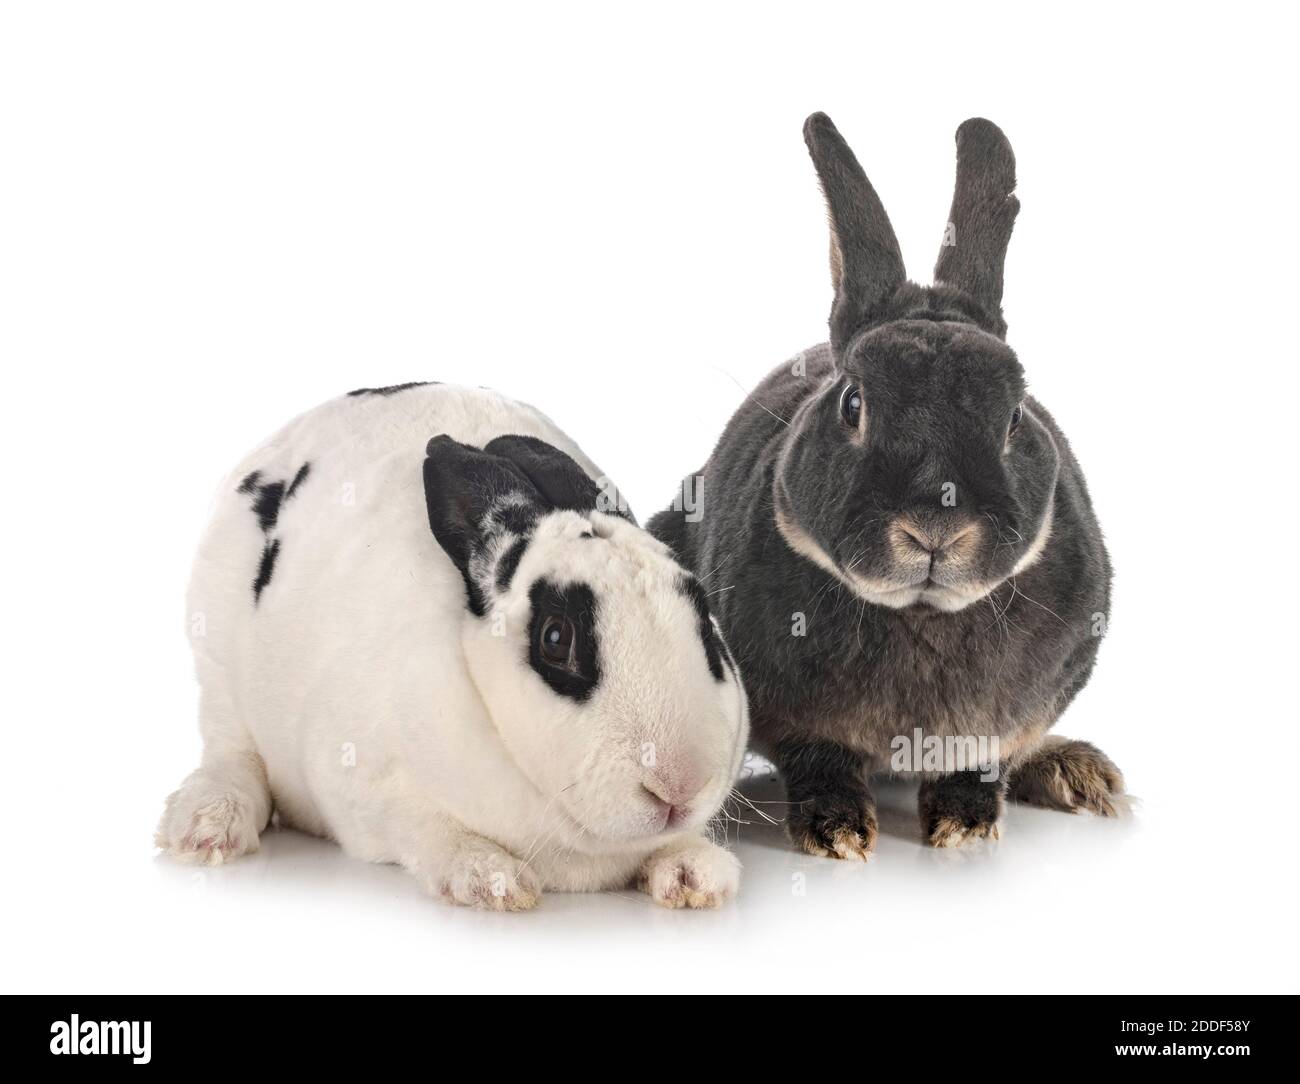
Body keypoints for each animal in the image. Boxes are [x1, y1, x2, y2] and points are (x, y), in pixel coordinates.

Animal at [157, 382, 749, 909]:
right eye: (555, 639)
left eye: (704, 619)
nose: (680, 785)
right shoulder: (368, 790)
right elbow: (429, 830)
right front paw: (494, 881)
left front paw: (697, 875)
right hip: (217, 669)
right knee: (232, 752)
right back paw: (205, 828)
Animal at [649, 114, 1124, 856]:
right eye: (854, 403)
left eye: (1015, 415)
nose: (936, 528)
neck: (921, 614)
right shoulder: (796, 722)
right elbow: (822, 762)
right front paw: (837, 832)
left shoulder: (1007, 720)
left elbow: (979, 763)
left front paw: (965, 826)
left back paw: (1076, 773)